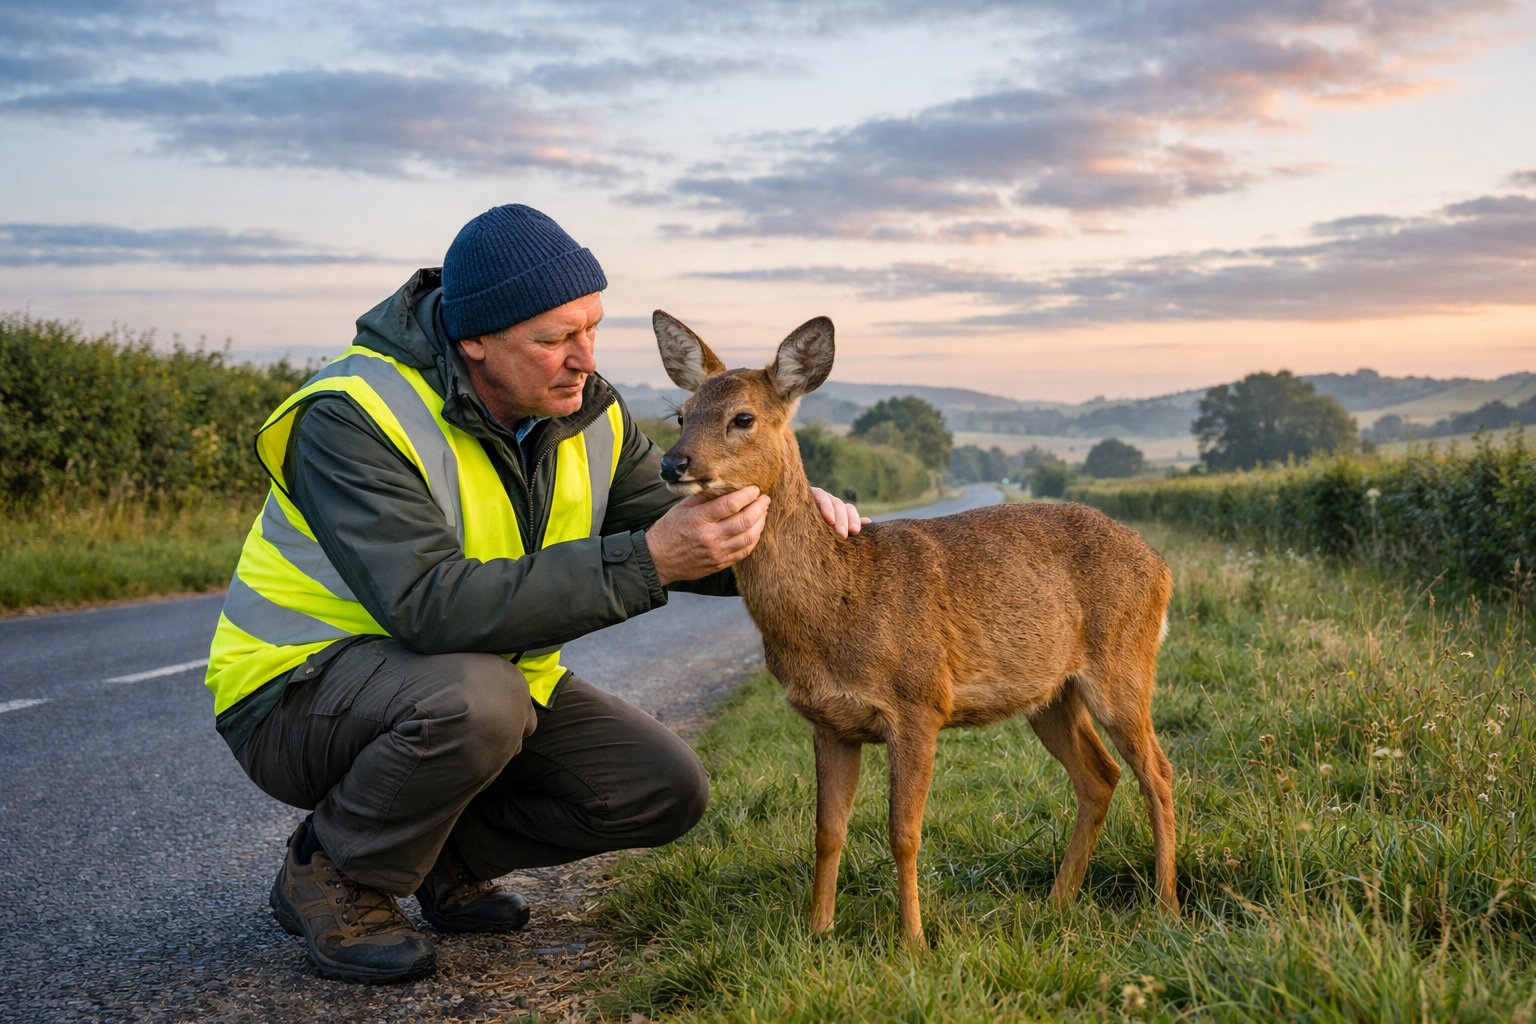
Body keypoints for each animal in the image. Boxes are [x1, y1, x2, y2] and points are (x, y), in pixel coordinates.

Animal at [652, 311, 1178, 948]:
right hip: (1051, 694)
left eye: (743, 417)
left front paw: (913, 943)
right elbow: (827, 831)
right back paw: (1056, 904)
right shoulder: (829, 721)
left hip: (1123, 664)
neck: (836, 605)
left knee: (1158, 772)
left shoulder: (920, 703)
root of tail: (1161, 566)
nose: (673, 464)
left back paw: (1167, 908)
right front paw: (819, 933)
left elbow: (903, 832)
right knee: (1100, 776)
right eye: (682, 414)